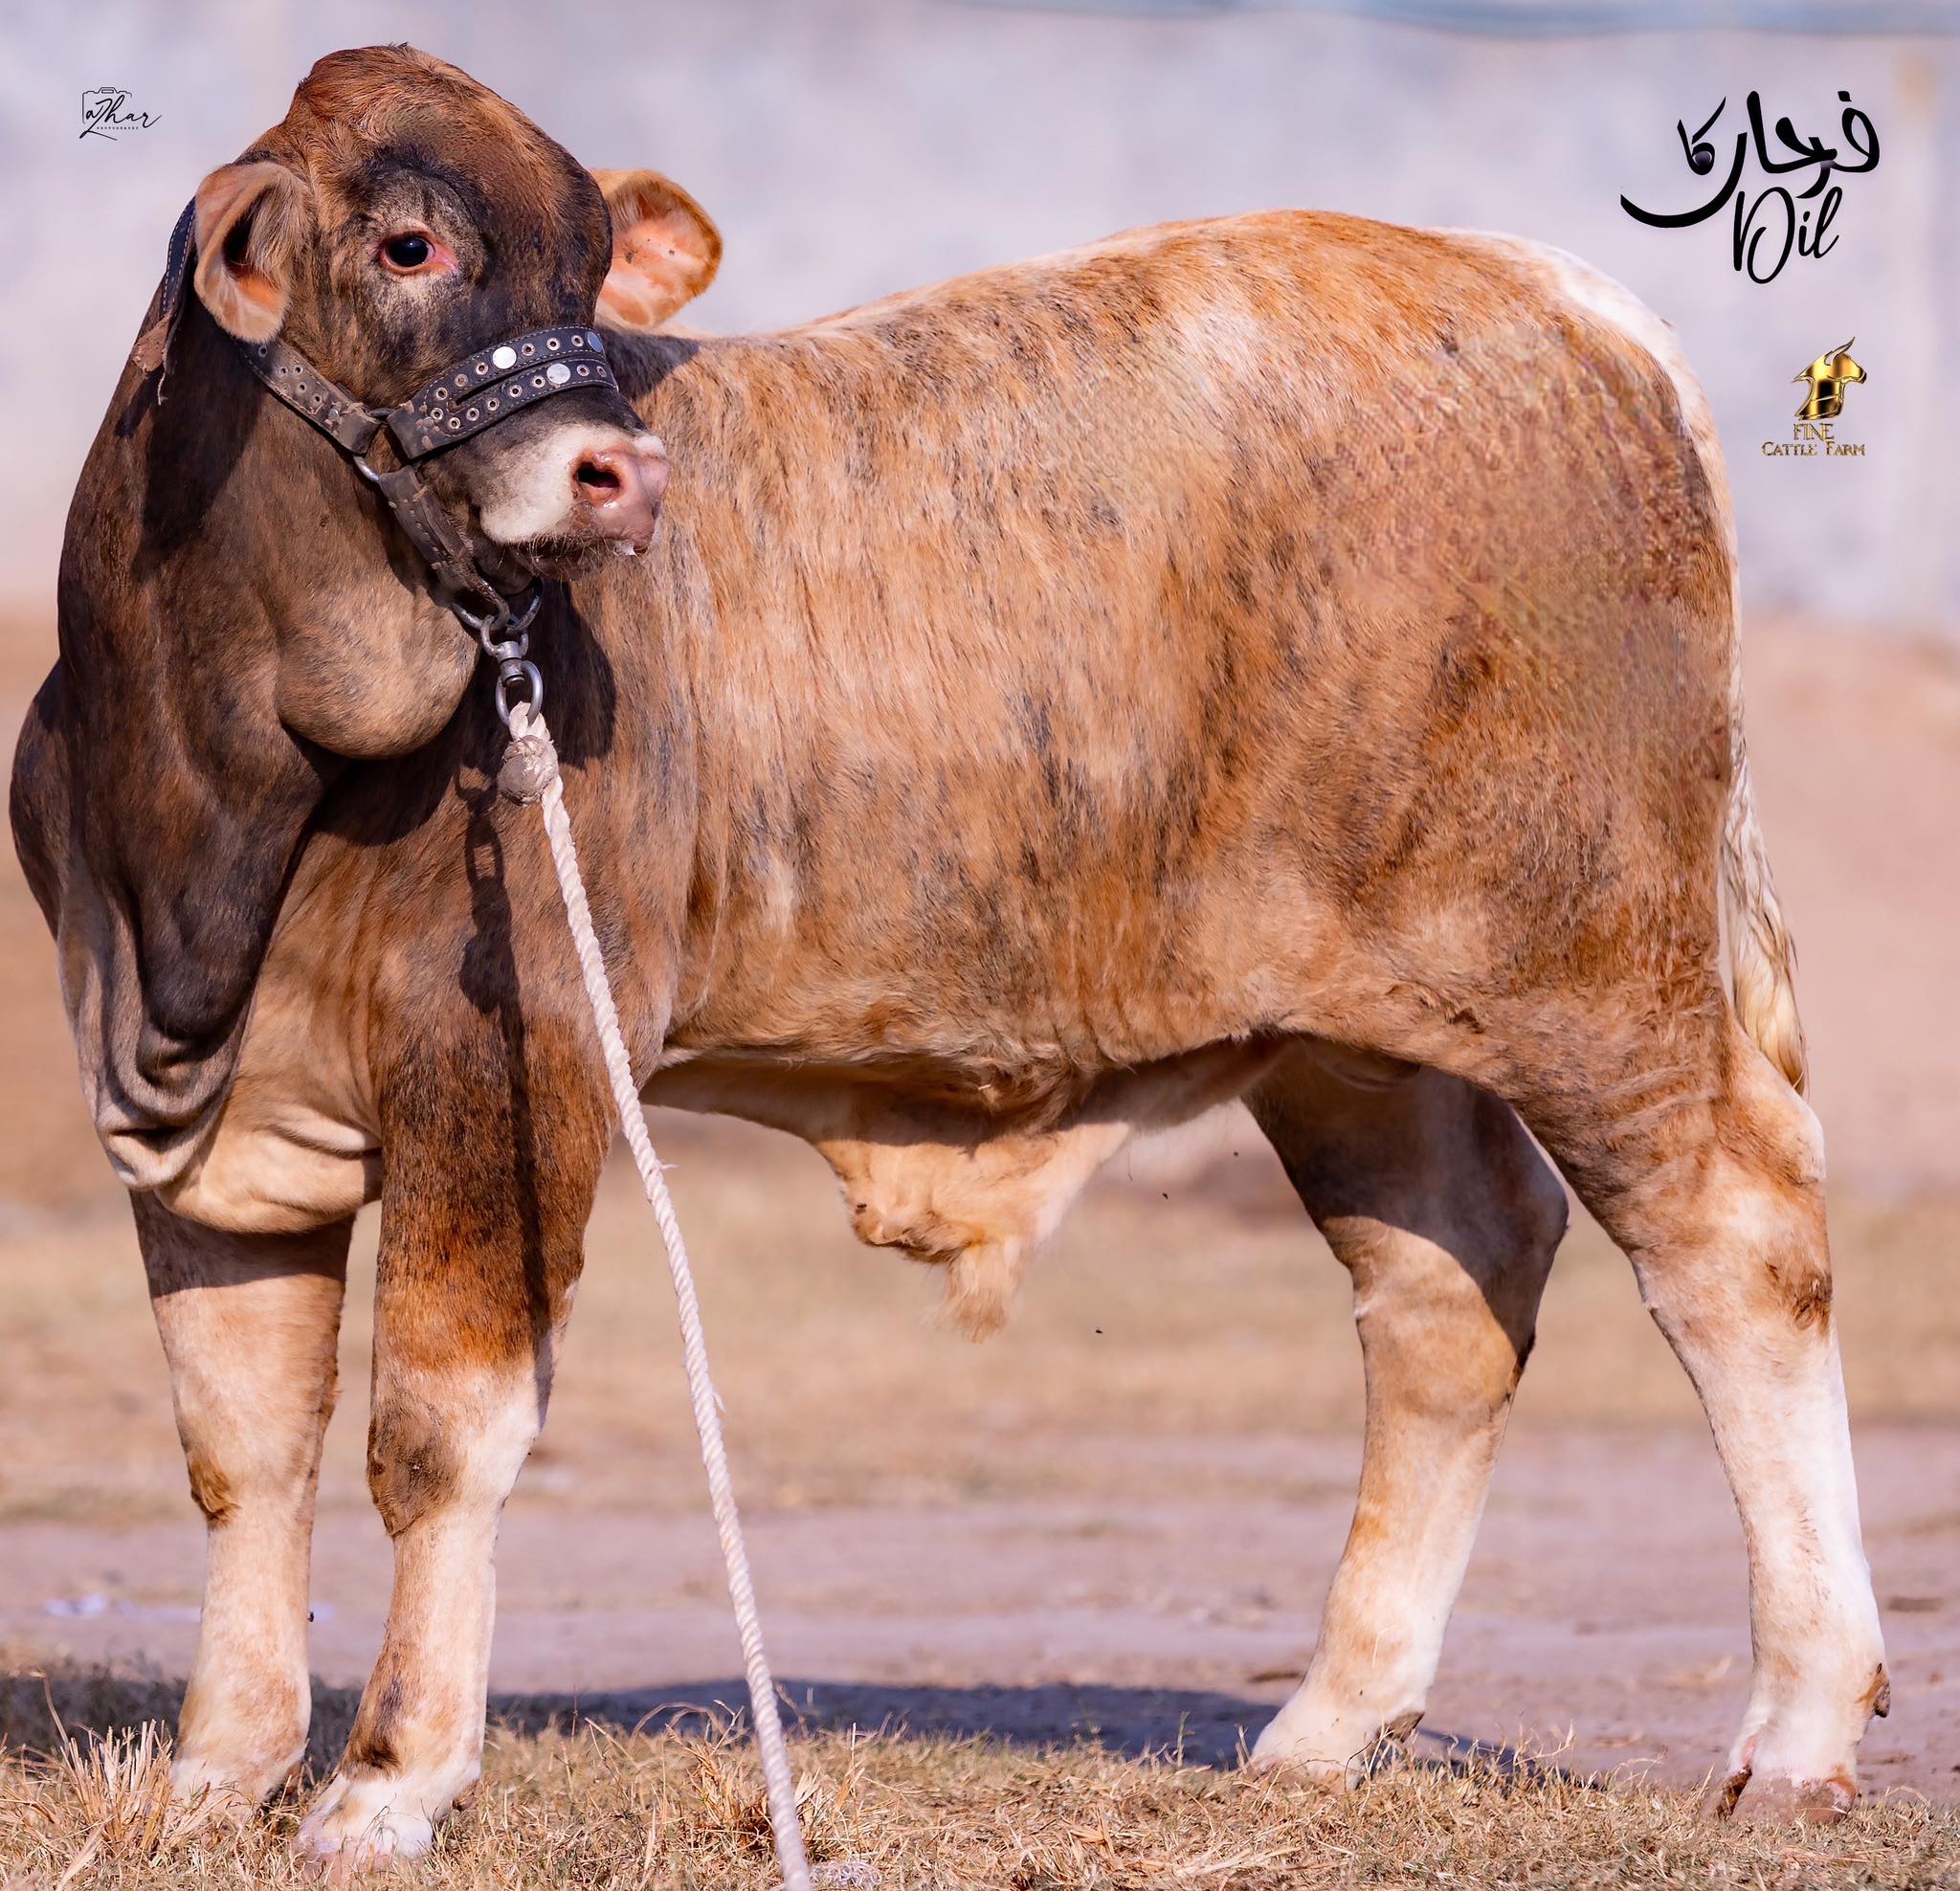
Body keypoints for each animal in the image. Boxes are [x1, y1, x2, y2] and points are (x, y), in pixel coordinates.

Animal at [11, 43, 1887, 1870]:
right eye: (409, 246)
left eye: (588, 266)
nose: (624, 471)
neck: (230, 788)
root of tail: (1560, 294)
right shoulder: (197, 1127)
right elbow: (241, 1447)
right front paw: (218, 1769)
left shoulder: (509, 1062)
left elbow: (435, 1429)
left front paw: (390, 1780)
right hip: (1356, 1035)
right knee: (1448, 1282)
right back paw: (1327, 1727)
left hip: (1594, 970)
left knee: (1736, 1240)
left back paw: (1795, 1731)